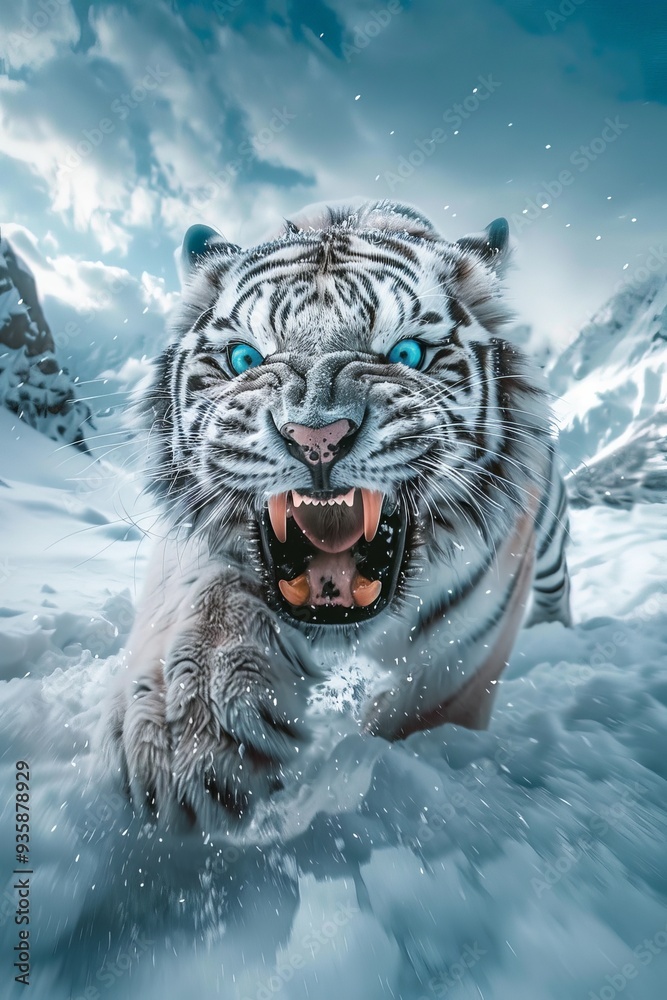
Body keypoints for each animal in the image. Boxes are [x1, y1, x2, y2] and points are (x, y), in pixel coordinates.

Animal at [104, 199, 571, 830]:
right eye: (244, 358)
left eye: (406, 354)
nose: (316, 436)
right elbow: (201, 595)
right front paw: (187, 734)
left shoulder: (464, 653)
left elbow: (422, 715)